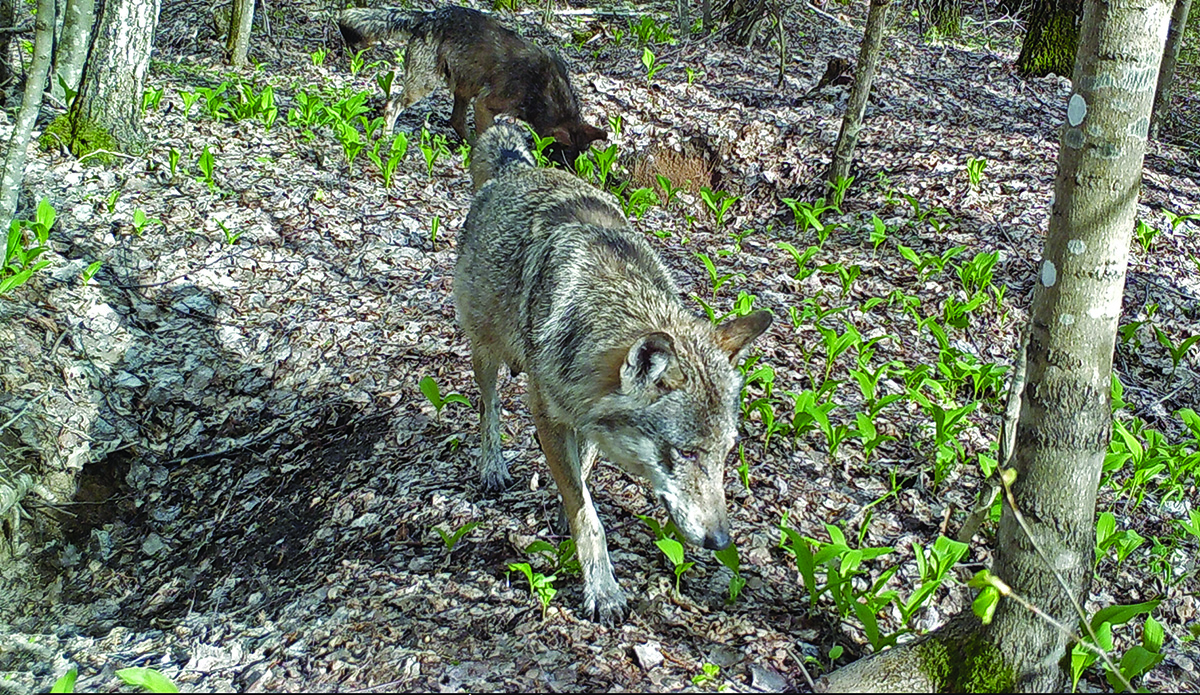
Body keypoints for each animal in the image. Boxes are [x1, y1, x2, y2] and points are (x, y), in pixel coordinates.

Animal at [337, 5, 607, 163]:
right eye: (565, 155)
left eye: (579, 156)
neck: (543, 90)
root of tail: (427, 16)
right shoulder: (485, 105)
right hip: (424, 87)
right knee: (392, 105)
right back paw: (386, 137)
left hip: (463, 89)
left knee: (455, 120)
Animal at [454, 124, 772, 622]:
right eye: (687, 454)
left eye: (726, 454)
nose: (721, 541)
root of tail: (515, 167)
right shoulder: (548, 416)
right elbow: (589, 517)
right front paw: (602, 590)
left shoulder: (583, 416)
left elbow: (581, 478)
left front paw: (564, 511)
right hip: (485, 350)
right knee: (489, 408)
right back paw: (492, 467)